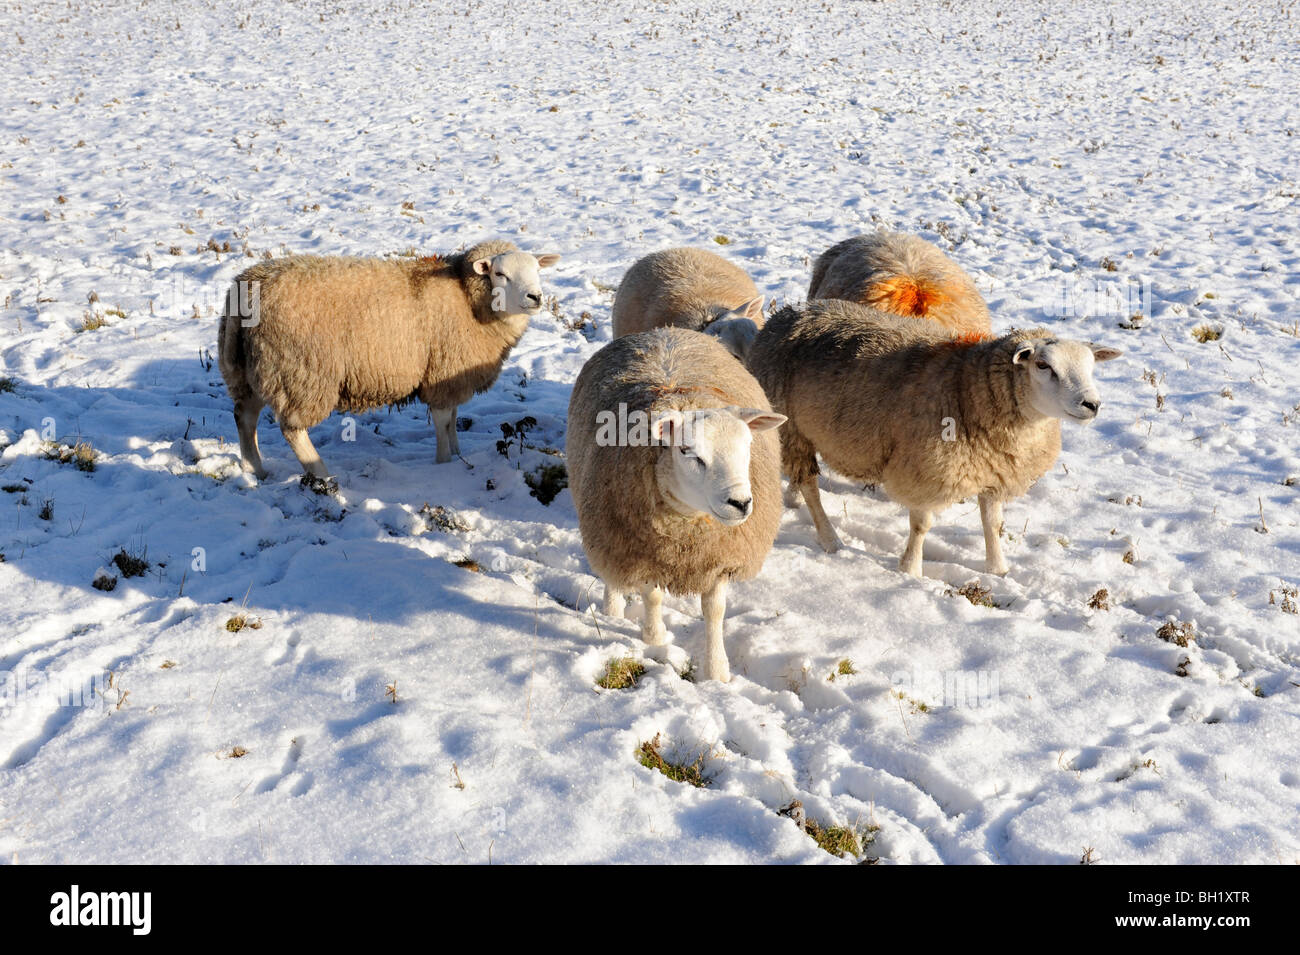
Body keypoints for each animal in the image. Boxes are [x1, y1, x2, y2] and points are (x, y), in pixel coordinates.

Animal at [218, 240, 559, 485]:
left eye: (537, 270)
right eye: (500, 273)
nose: (535, 297)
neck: (466, 298)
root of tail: (247, 288)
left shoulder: (449, 375)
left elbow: (453, 420)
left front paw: (458, 454)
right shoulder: (443, 371)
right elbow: (442, 422)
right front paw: (444, 464)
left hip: (250, 370)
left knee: (244, 417)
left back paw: (255, 470)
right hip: (300, 372)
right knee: (292, 429)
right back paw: (323, 475)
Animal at [567, 327, 786, 682]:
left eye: (748, 444)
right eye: (687, 451)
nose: (740, 503)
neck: (687, 535)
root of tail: (661, 331)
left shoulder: (719, 556)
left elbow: (715, 610)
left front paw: (717, 671)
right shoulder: (642, 552)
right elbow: (653, 595)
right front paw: (654, 639)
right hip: (605, 528)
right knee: (611, 573)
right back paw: (613, 612)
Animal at [747, 299, 1120, 577]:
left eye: (1091, 366)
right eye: (1043, 366)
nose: (1092, 404)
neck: (967, 385)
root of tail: (787, 315)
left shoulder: (993, 469)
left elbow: (993, 524)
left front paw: (998, 569)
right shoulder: (925, 468)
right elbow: (921, 525)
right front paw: (910, 570)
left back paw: (794, 500)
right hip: (790, 428)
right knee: (811, 486)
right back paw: (830, 539)